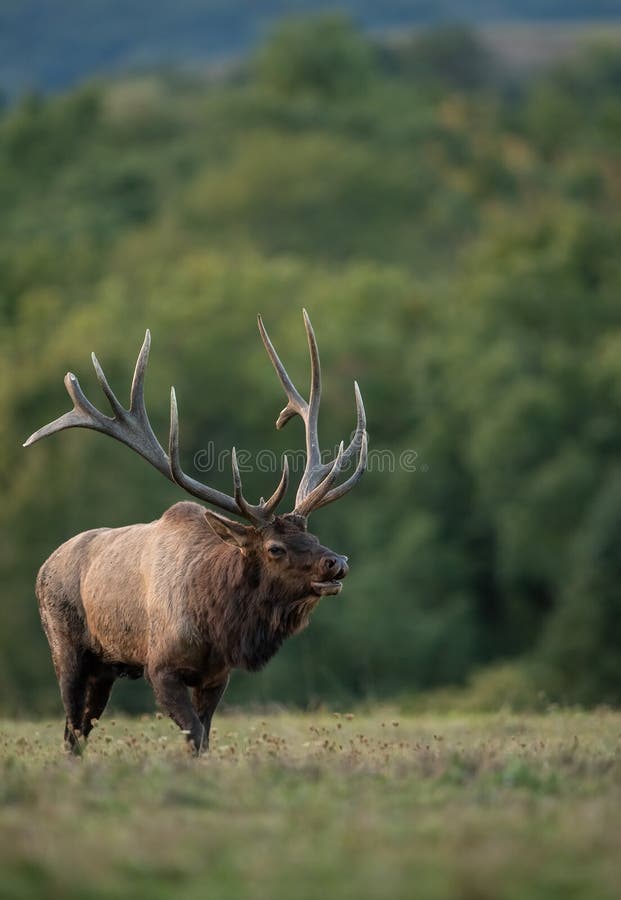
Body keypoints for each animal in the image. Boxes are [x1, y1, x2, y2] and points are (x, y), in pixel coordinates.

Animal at [24, 311, 367, 754]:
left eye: (313, 536)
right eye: (275, 548)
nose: (336, 562)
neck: (216, 624)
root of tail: (43, 567)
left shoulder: (216, 675)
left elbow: (203, 740)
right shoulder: (160, 667)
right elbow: (193, 735)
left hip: (106, 667)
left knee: (80, 728)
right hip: (66, 647)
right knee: (70, 727)